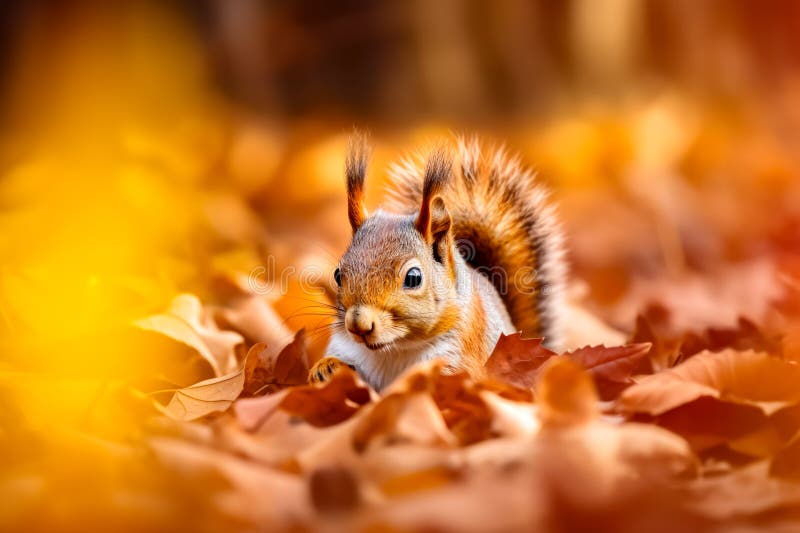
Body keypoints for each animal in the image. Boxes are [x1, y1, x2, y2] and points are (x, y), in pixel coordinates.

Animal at [309, 134, 567, 391]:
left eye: (413, 278)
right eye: (338, 275)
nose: (358, 324)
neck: (394, 350)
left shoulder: (460, 354)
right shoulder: (346, 346)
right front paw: (325, 368)